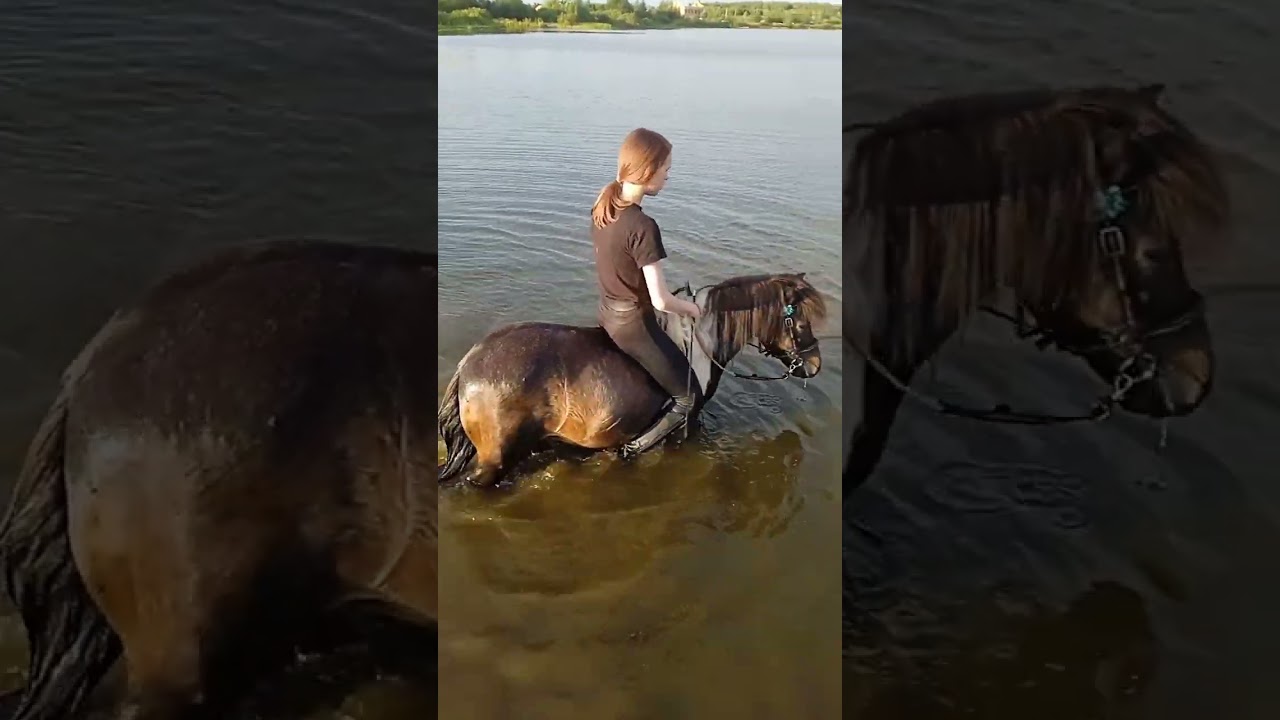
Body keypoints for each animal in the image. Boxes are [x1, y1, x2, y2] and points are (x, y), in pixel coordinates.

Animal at [437, 273, 829, 489]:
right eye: (799, 319)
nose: (814, 364)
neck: (701, 342)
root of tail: (468, 364)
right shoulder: (686, 422)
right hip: (494, 459)